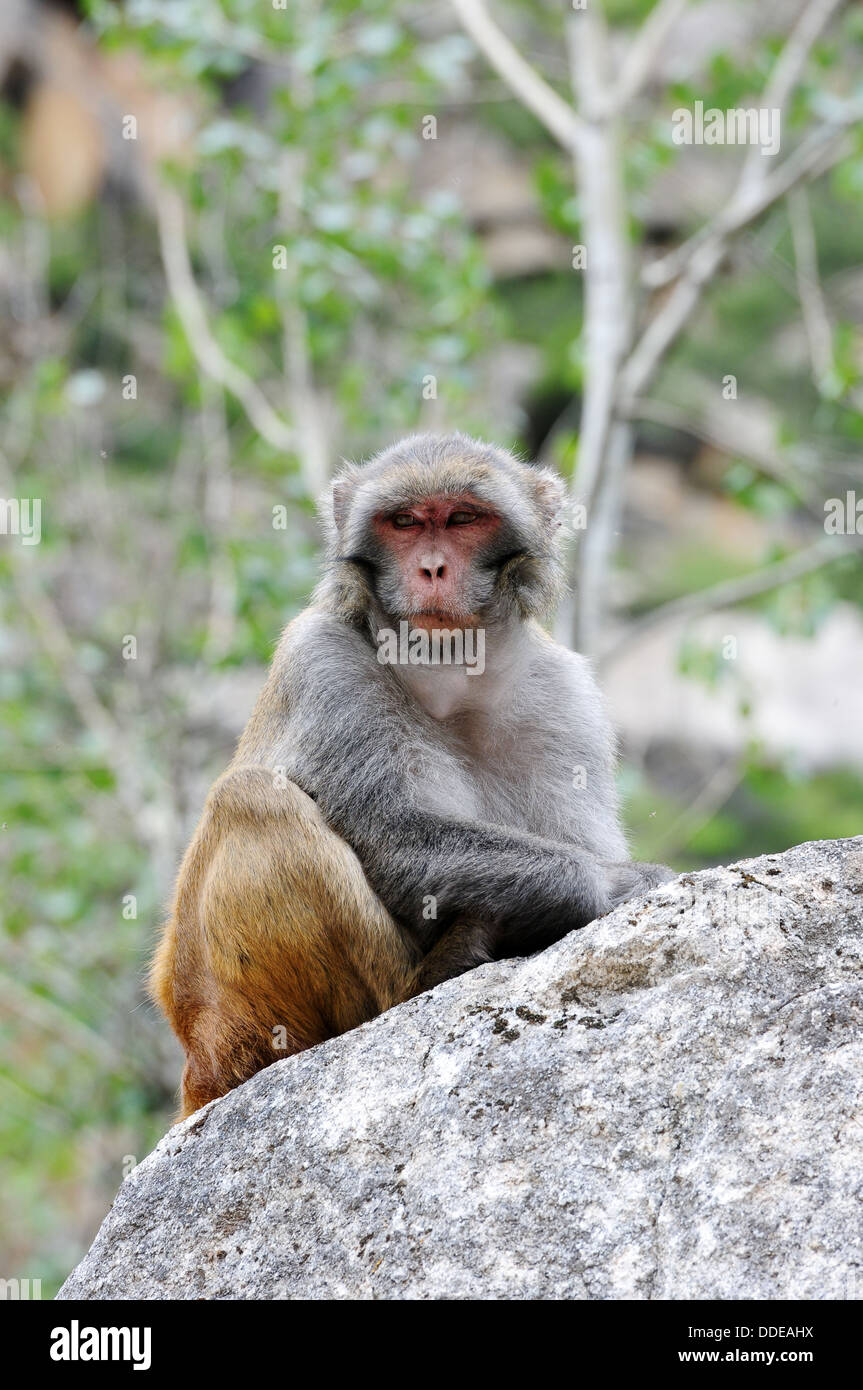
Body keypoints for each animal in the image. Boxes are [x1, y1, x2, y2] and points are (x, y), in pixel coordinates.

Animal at [150, 432, 673, 1116]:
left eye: (462, 518)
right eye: (403, 523)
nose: (431, 568)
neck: (448, 679)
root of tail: (196, 1056)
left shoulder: (563, 695)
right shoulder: (323, 660)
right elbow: (391, 835)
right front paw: (609, 885)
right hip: (248, 1020)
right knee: (254, 800)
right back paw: (433, 974)